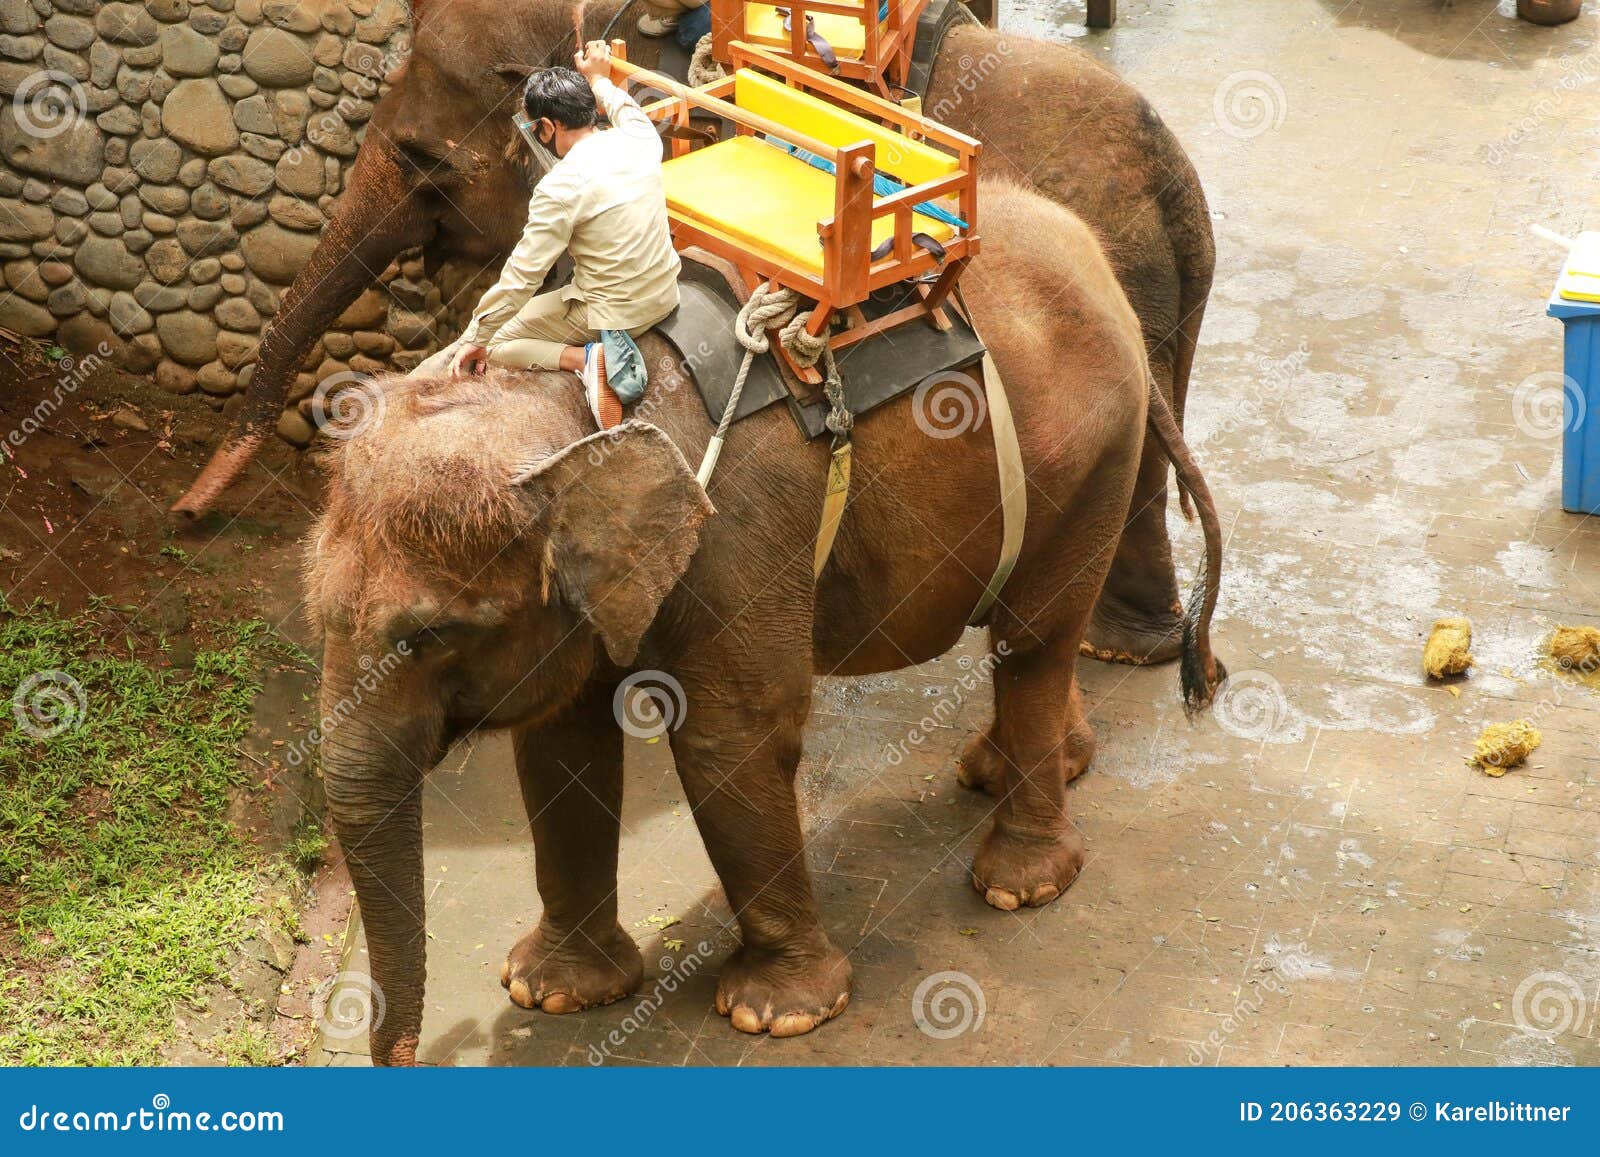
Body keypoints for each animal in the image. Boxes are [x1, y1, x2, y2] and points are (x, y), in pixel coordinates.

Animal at [305, 177, 1223, 1065]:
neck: (573, 407)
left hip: (1093, 450)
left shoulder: (741, 531)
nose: (416, 1053)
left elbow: (731, 735)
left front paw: (776, 1015)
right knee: (1033, 639)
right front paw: (552, 993)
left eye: (429, 637)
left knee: (1032, 641)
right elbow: (561, 741)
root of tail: (1100, 268)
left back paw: (1019, 884)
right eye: (317, 618)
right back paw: (1014, 771)